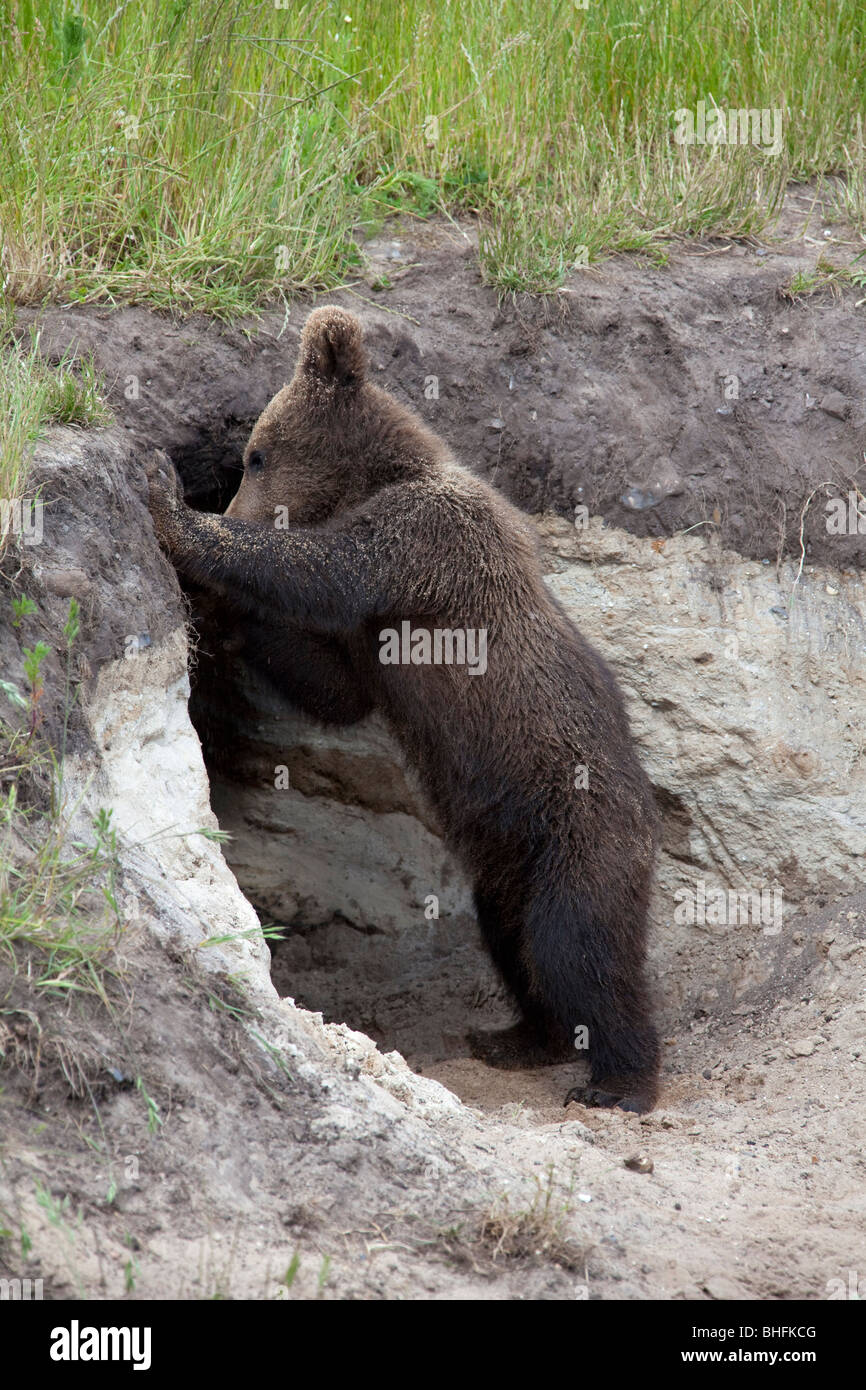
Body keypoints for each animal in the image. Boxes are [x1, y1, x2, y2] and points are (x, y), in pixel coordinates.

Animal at [146, 305, 661, 1112]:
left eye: (256, 455)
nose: (228, 497)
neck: (378, 478)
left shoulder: (420, 548)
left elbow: (321, 568)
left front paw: (174, 511)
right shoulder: (368, 643)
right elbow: (332, 686)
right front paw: (217, 612)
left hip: (582, 834)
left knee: (578, 949)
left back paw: (620, 1079)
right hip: (507, 859)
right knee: (513, 941)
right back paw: (521, 1038)